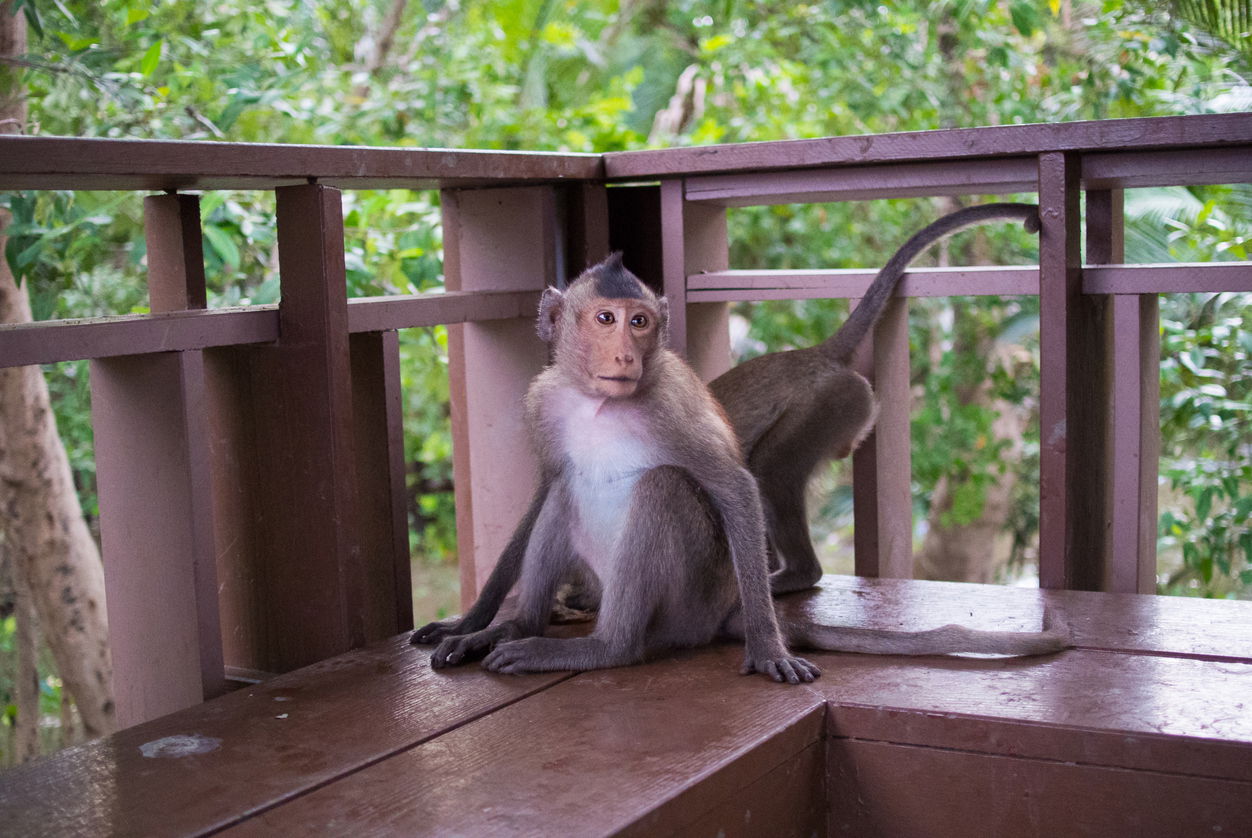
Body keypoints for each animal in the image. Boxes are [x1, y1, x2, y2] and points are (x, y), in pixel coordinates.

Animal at [412, 247, 1066, 681]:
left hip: (686, 603)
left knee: (666, 488)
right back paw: (514, 629)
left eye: (639, 321)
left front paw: (769, 648)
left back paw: (600, 648)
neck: (601, 403)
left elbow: (732, 485)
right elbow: (545, 488)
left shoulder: (673, 402)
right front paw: (468, 620)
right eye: (605, 319)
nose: (625, 354)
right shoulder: (543, 402)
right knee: (567, 490)